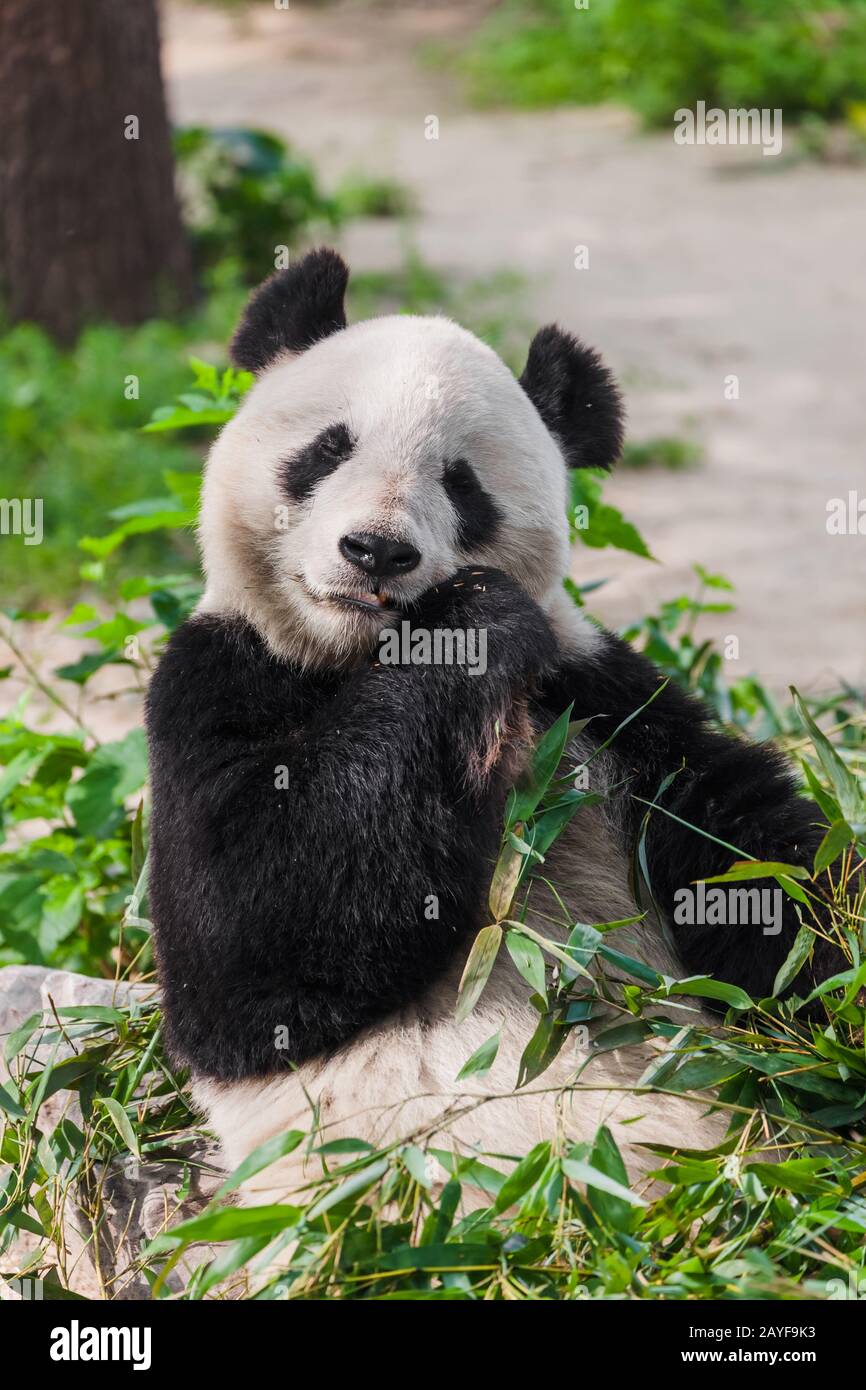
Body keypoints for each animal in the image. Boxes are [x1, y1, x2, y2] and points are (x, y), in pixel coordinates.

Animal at [146, 247, 834, 1203]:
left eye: (462, 484)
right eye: (329, 448)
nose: (376, 551)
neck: (358, 658)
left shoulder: (602, 700)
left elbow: (756, 866)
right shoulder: (217, 676)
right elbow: (246, 939)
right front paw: (472, 624)